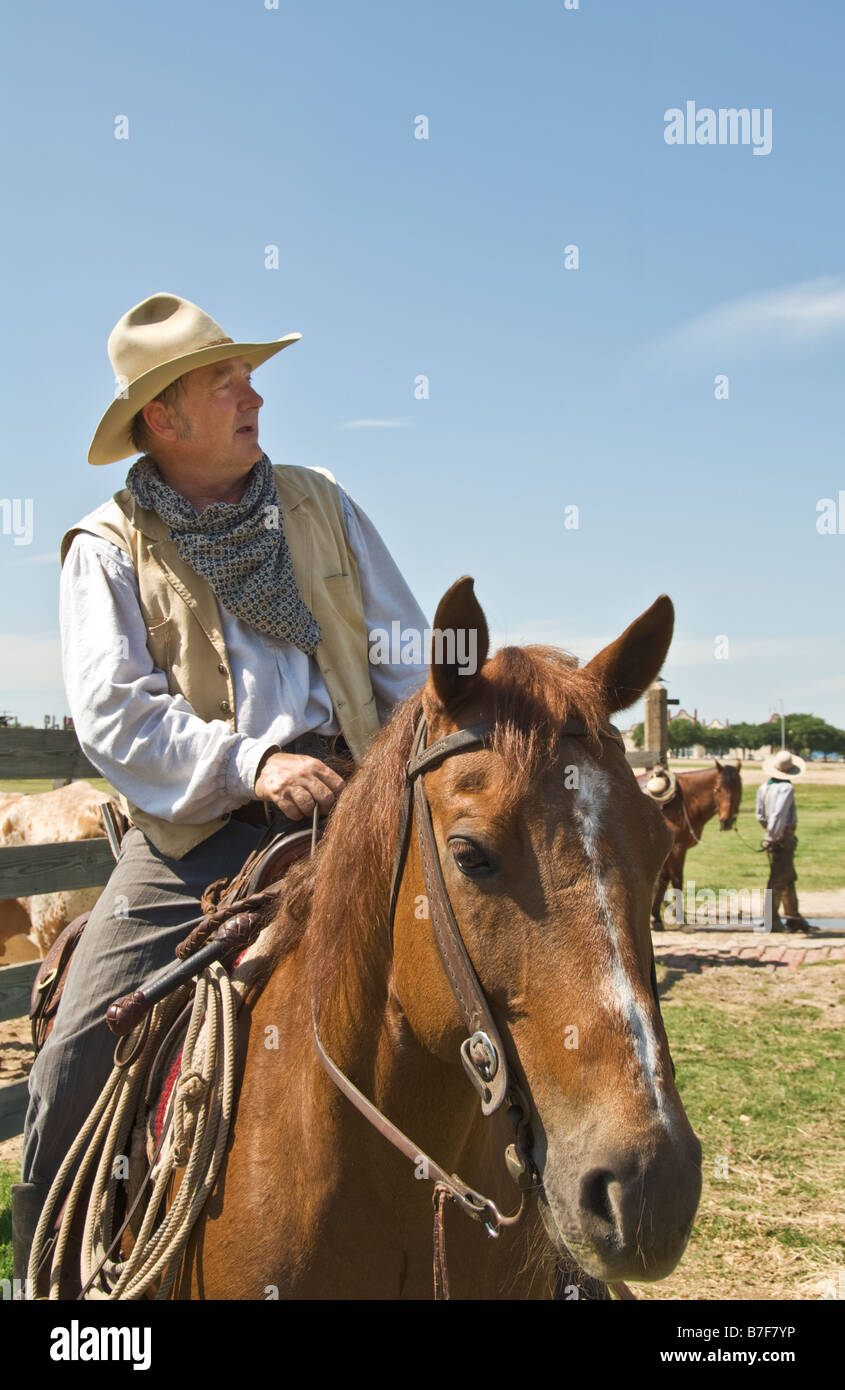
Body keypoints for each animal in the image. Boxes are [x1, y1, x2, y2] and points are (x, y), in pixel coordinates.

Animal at [647, 761, 743, 930]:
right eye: (717, 789)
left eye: (738, 789)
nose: (727, 821)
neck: (683, 801)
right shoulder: (677, 848)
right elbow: (676, 879)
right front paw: (679, 918)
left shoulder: (667, 851)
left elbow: (663, 880)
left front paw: (656, 918)